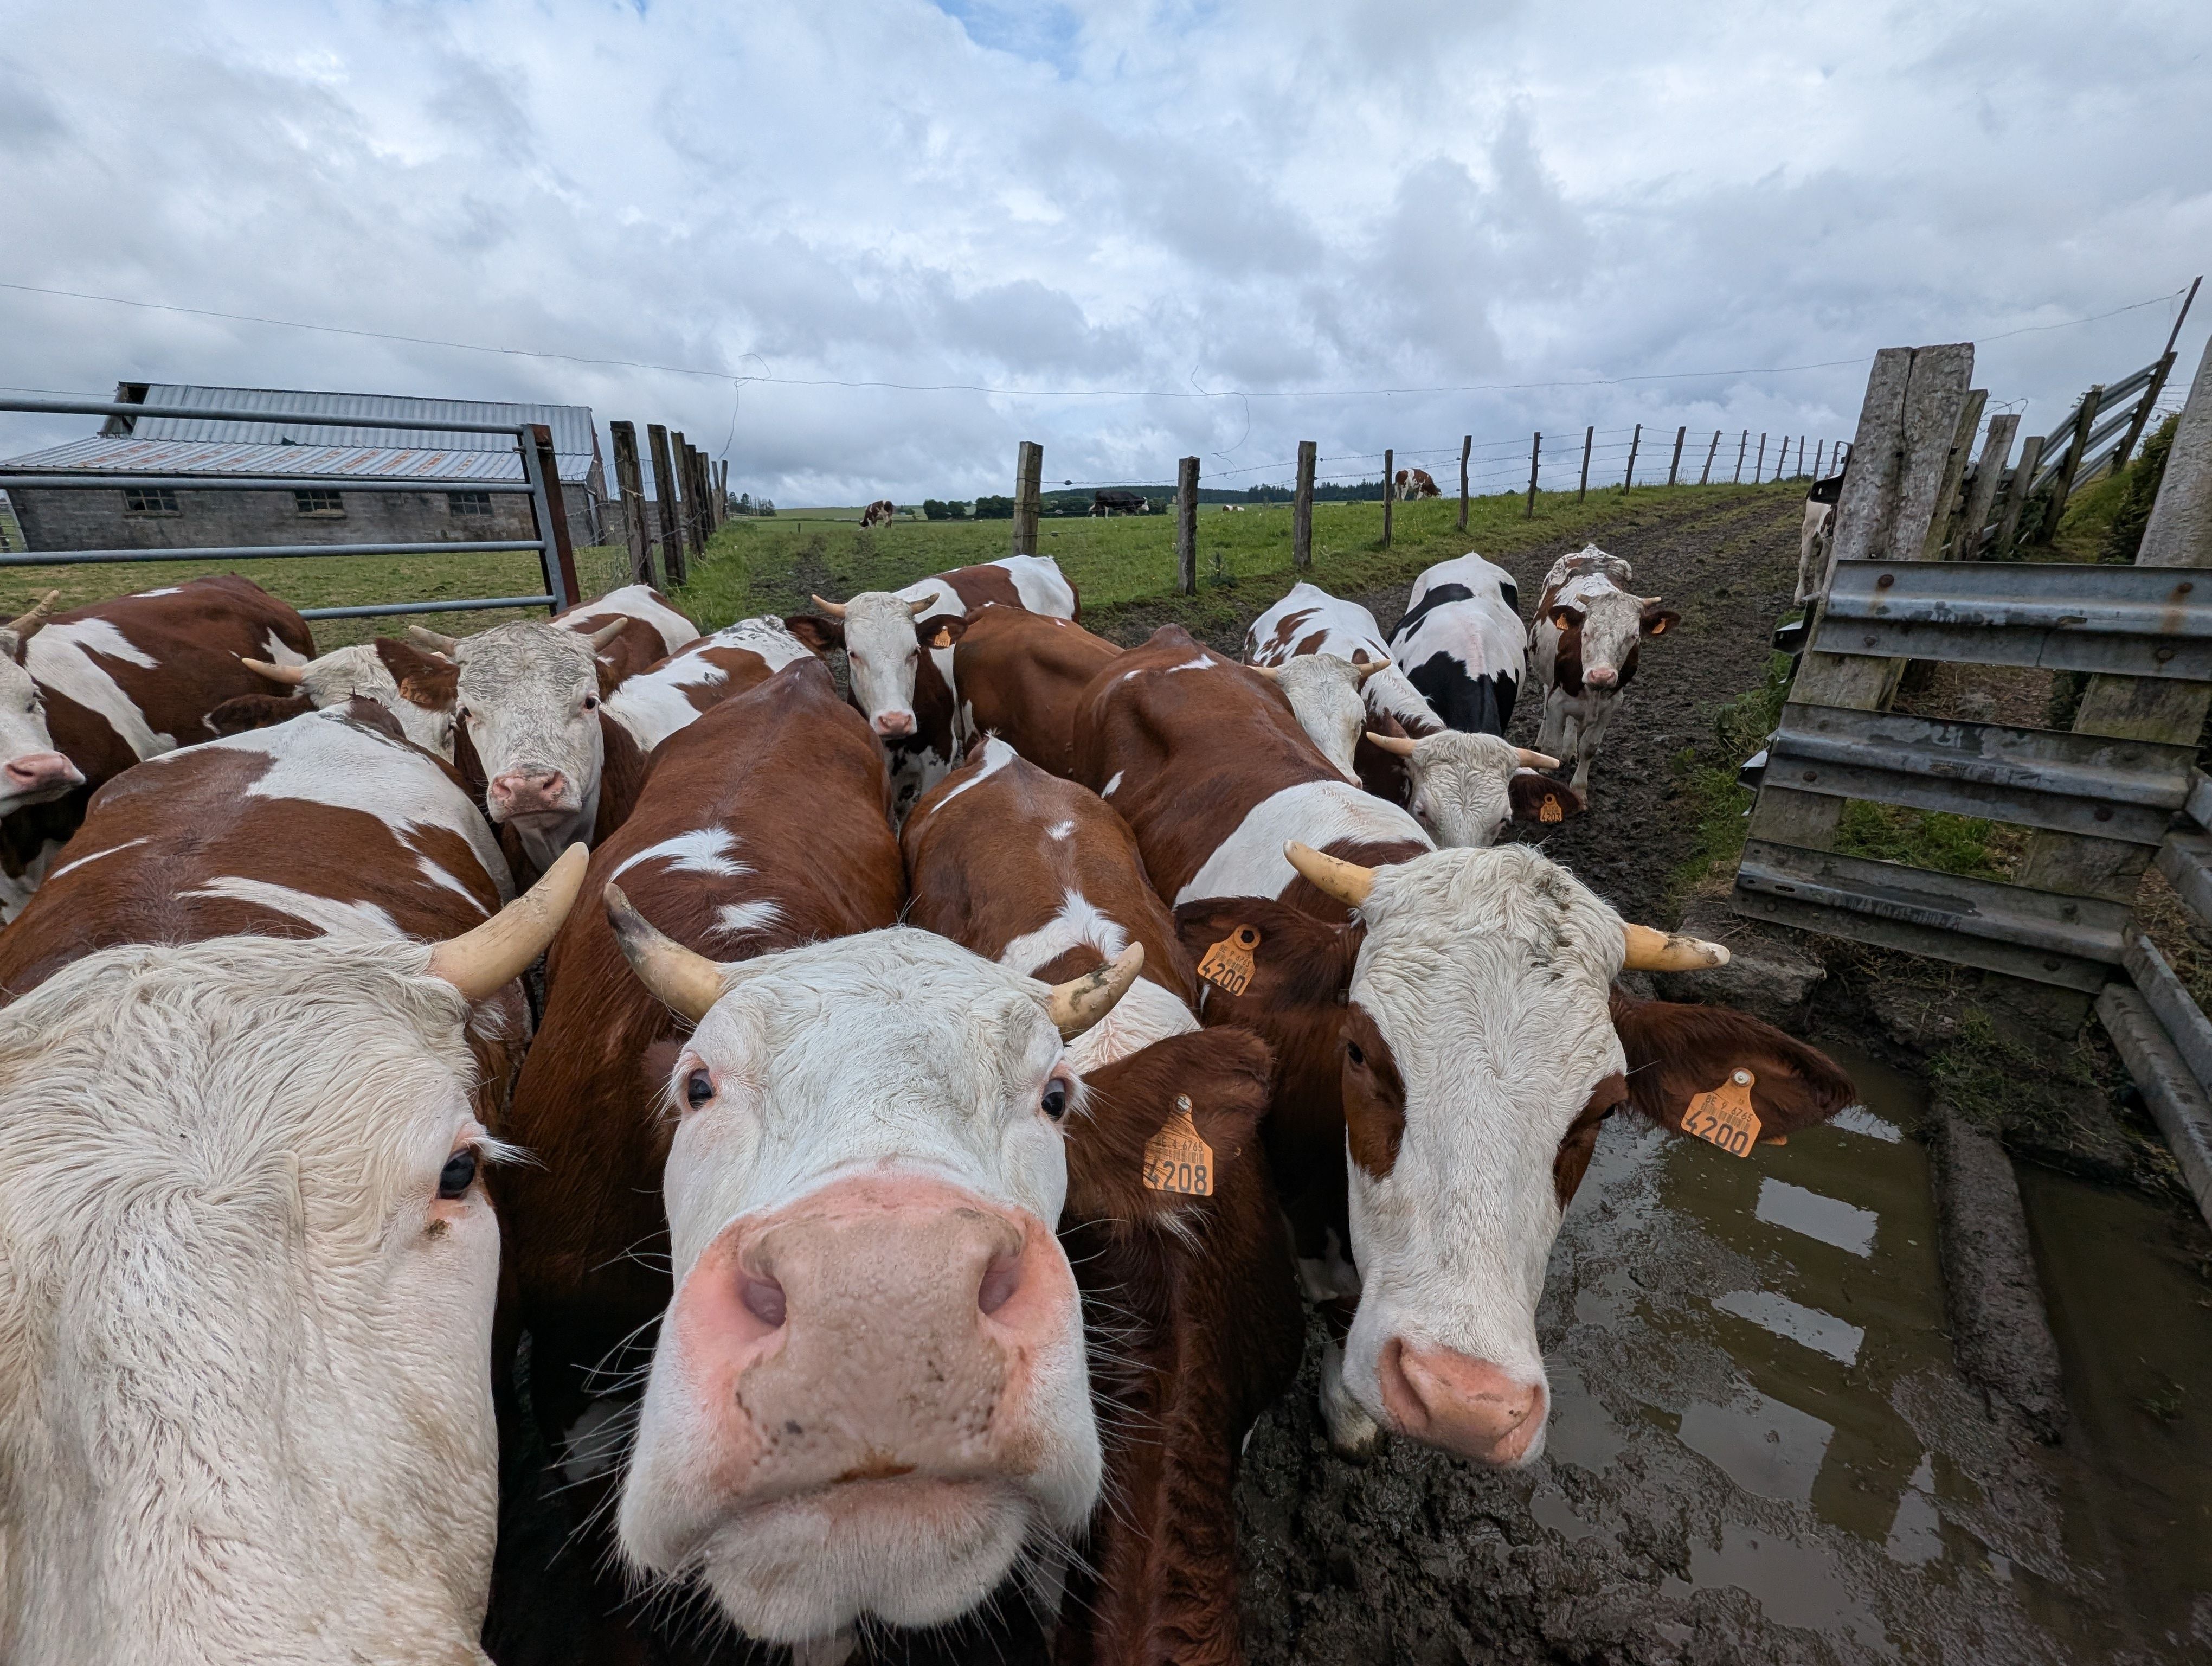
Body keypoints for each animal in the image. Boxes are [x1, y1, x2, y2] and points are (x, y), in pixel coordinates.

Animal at [785, 553, 1081, 819]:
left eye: (915, 650)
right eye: (853, 654)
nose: (895, 720)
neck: (898, 743)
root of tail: (1043, 560)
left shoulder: (941, 753)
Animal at [1531, 545, 1678, 796]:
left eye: (1634, 636)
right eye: (1585, 632)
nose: (1601, 675)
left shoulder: (1611, 705)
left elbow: (1590, 747)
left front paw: (1579, 790)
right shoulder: (1557, 699)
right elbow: (1551, 747)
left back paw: (1569, 750)